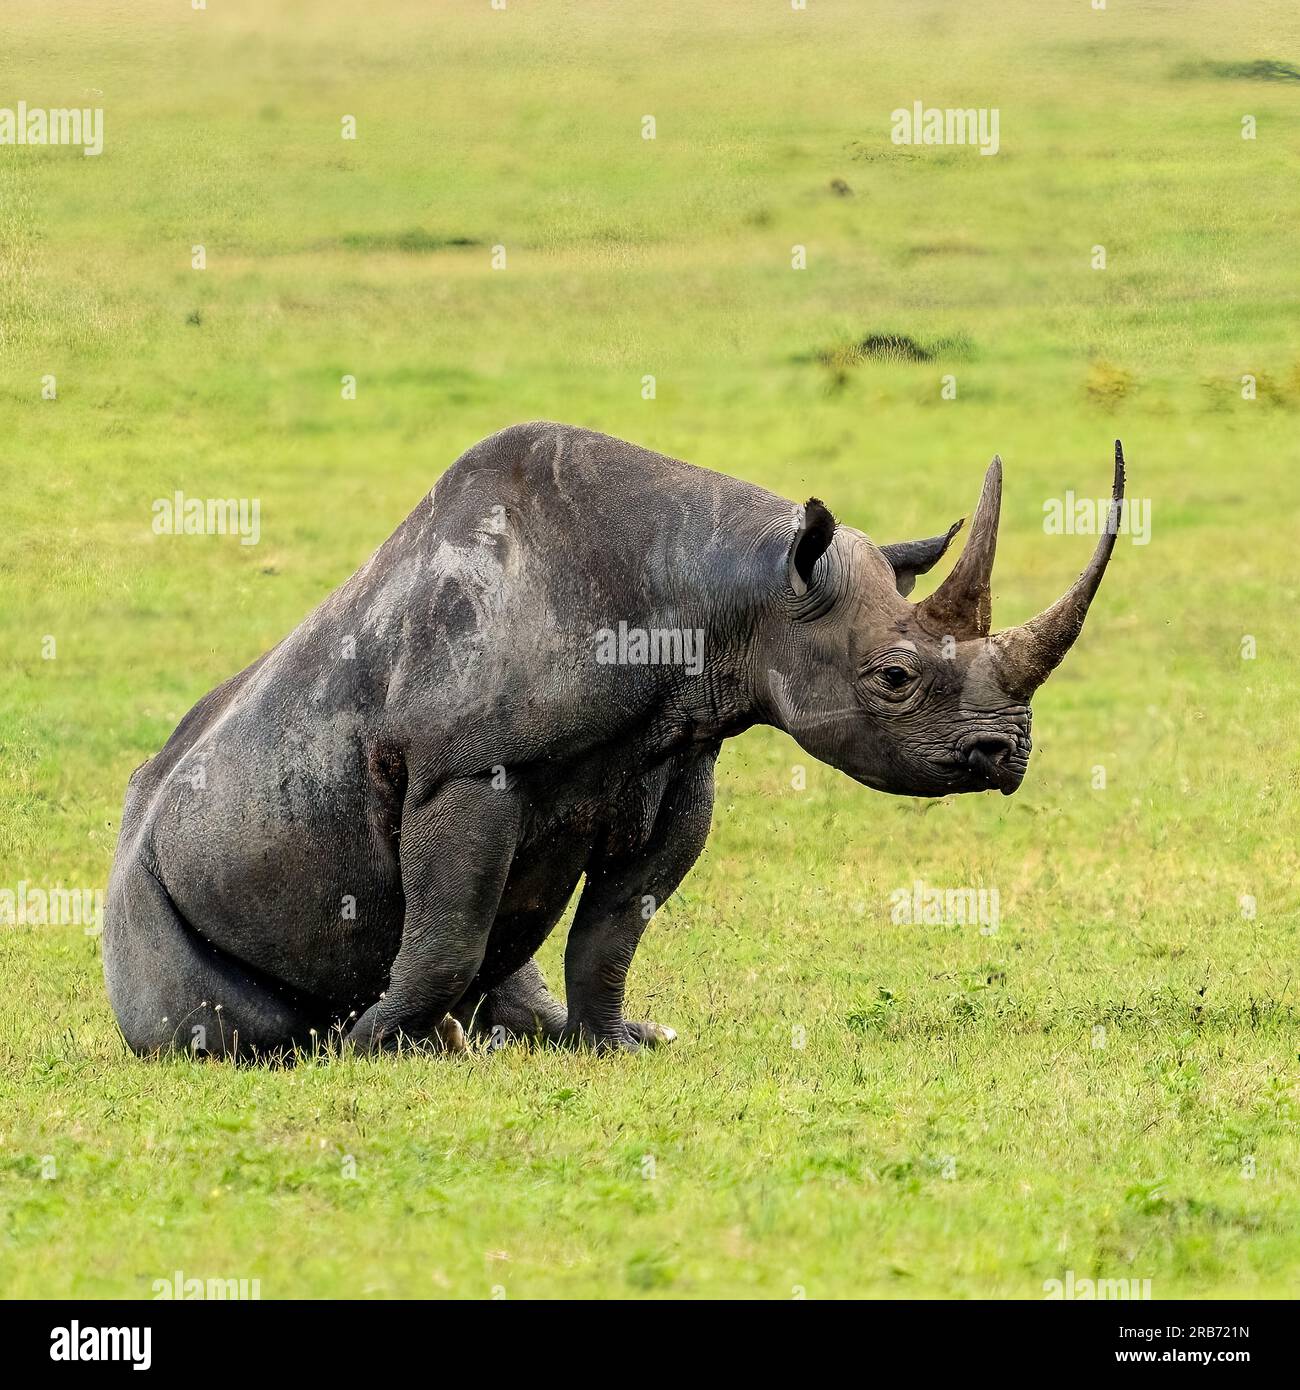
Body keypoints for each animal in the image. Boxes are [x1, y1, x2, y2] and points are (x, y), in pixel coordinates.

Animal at [104, 423, 1125, 1059]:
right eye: (895, 679)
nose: (1005, 756)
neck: (737, 593)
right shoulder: (465, 770)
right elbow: (450, 924)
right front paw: (381, 1047)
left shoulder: (680, 762)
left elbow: (613, 928)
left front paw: (618, 1043)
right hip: (150, 876)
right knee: (217, 1024)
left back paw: (510, 1035)